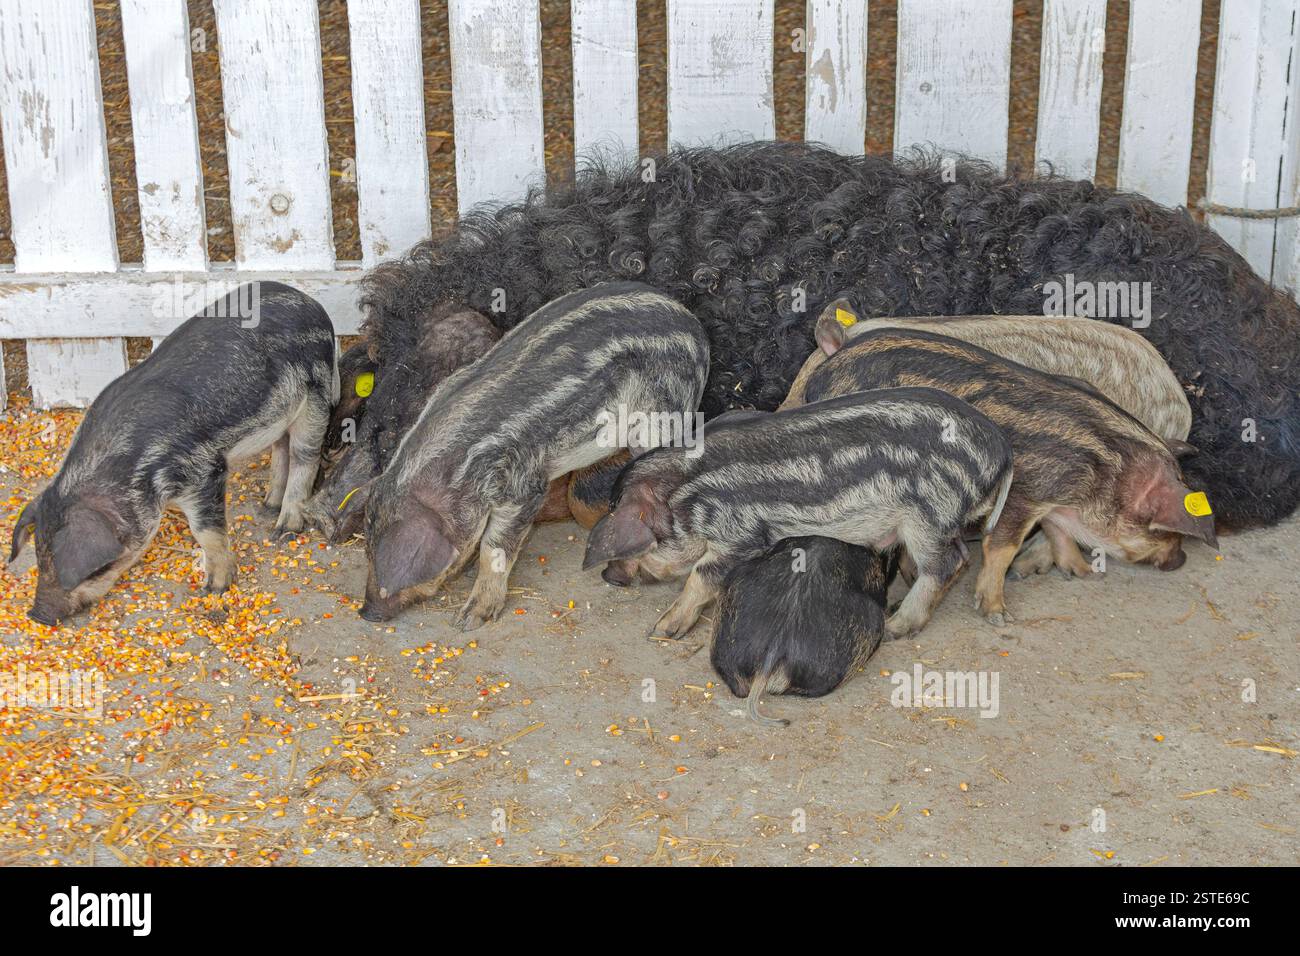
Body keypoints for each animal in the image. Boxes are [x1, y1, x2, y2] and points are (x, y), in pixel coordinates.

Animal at [8, 282, 337, 625]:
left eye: (96, 569)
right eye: (39, 555)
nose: (37, 614)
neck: (132, 471)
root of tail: (311, 303)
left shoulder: (205, 470)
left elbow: (206, 530)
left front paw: (214, 589)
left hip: (317, 394)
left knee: (305, 456)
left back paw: (284, 529)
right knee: (281, 448)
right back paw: (267, 506)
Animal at [359, 281, 710, 626]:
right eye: (368, 549)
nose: (366, 613)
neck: (460, 469)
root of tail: (695, 327)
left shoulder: (522, 487)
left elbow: (494, 547)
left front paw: (470, 619)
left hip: (663, 415)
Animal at [582, 388, 1014, 640]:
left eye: (643, 546)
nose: (608, 576)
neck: (686, 493)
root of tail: (1000, 448)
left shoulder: (741, 535)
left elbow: (701, 578)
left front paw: (661, 630)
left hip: (929, 515)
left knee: (947, 564)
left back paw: (894, 627)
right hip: (941, 520)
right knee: (958, 555)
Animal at [793, 328, 1219, 626]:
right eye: (1161, 531)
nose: (1181, 560)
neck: (1104, 472)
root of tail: (820, 379)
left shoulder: (1052, 499)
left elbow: (1056, 530)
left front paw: (1081, 573)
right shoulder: (1023, 493)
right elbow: (1001, 547)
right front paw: (999, 615)